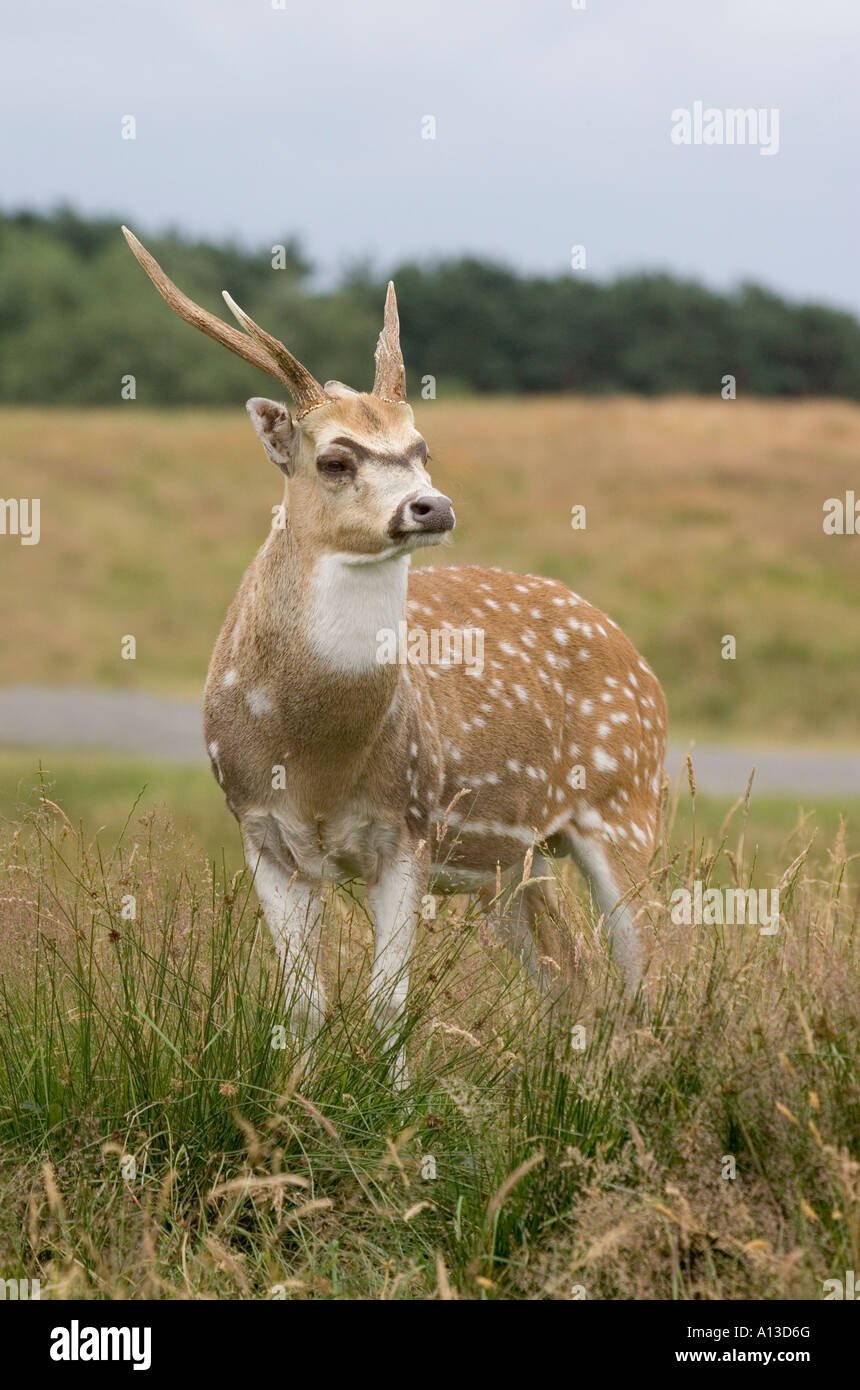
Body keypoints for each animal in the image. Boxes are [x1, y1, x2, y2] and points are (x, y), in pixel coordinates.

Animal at [122, 227, 667, 1085]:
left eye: (422, 447)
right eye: (335, 458)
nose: (431, 505)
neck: (316, 759)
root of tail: (634, 656)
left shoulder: (409, 827)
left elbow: (388, 1002)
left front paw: (397, 1105)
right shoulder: (259, 831)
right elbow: (304, 1004)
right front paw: (297, 1099)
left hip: (626, 797)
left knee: (649, 971)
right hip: (513, 859)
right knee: (570, 977)